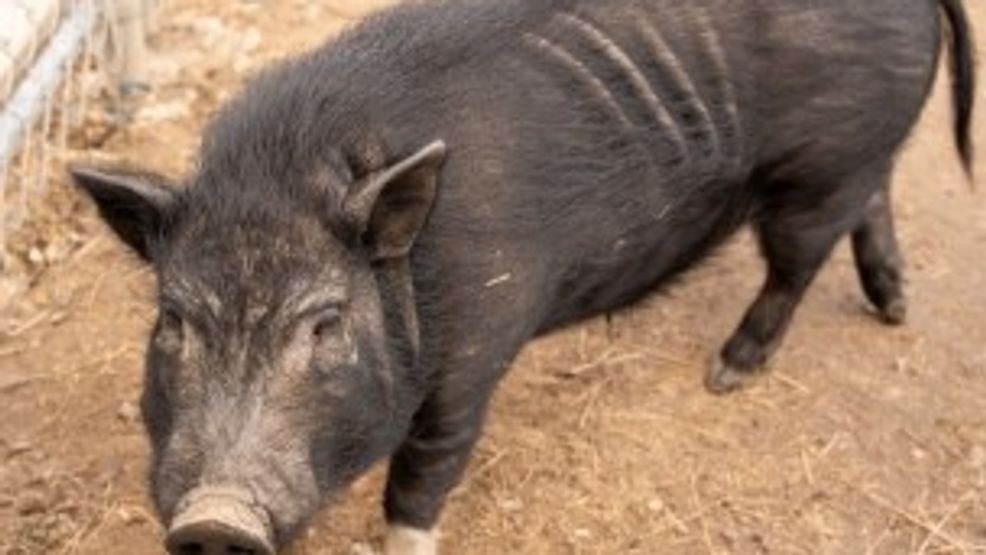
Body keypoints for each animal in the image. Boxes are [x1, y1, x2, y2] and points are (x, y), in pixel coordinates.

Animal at [71, 0, 975, 553]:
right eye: (172, 321)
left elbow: (421, 478)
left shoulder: (475, 349)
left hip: (820, 166)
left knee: (798, 261)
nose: (214, 517)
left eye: (326, 323)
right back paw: (894, 307)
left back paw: (729, 371)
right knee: (876, 200)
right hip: (849, 163)